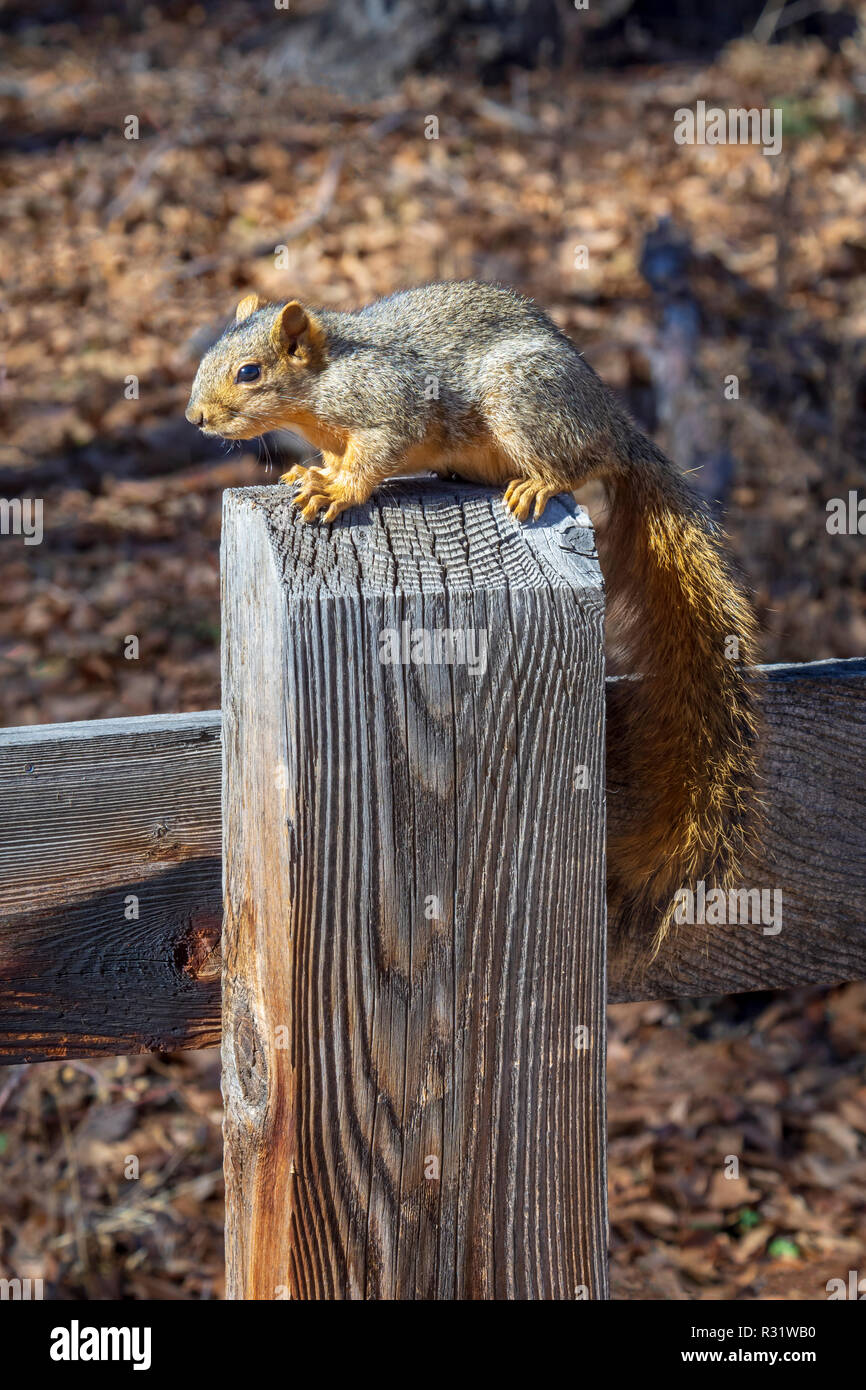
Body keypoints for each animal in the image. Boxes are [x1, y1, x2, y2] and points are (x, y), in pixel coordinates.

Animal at [187, 280, 760, 949]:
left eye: (250, 372)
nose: (195, 419)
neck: (322, 388)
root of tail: (615, 425)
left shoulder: (390, 404)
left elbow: (375, 454)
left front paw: (338, 489)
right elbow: (336, 458)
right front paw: (312, 473)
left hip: (525, 401)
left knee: (580, 463)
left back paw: (539, 483)